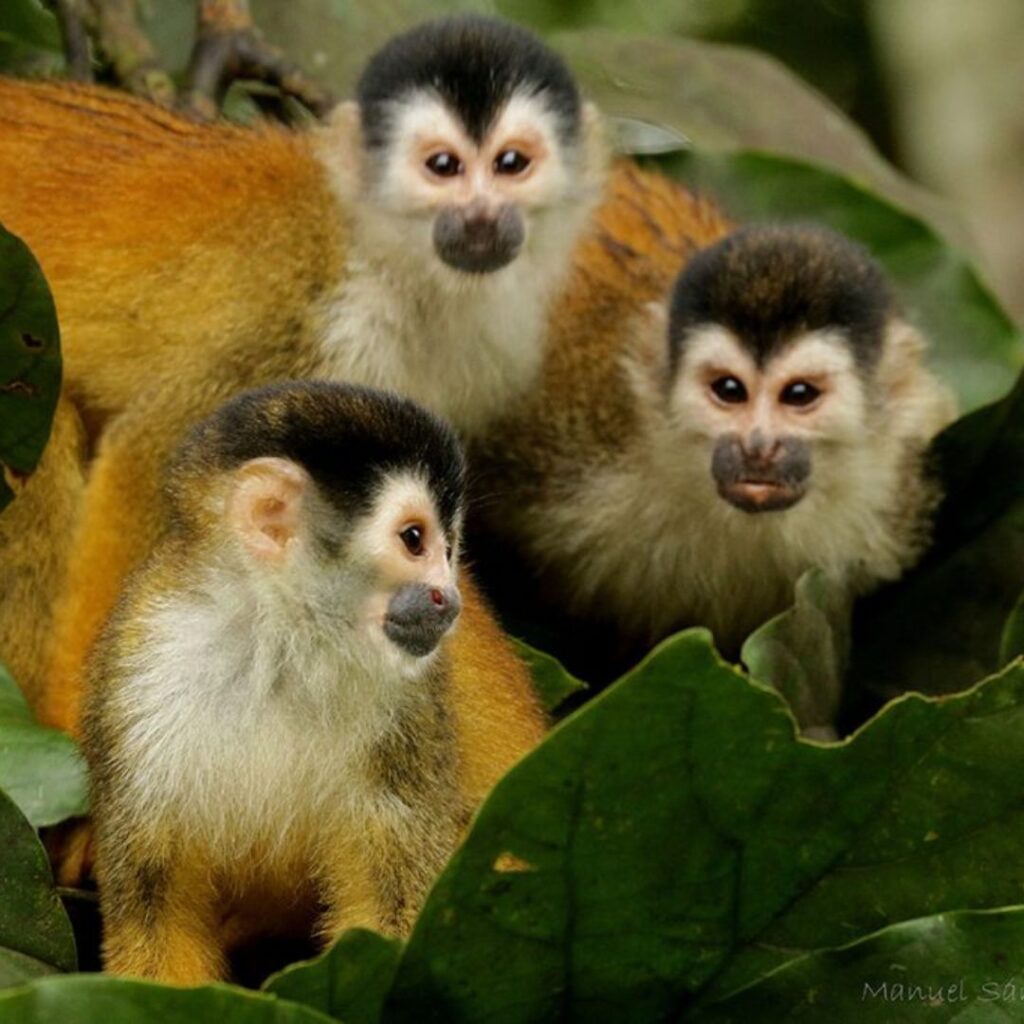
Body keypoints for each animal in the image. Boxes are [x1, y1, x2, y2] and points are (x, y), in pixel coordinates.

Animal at [0, 13, 607, 734]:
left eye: (512, 164)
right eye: (442, 167)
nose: (482, 218)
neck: (386, 260)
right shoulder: (294, 302)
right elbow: (147, 460)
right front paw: (79, 714)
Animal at [83, 379, 522, 983]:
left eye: (450, 550)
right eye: (414, 539)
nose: (447, 598)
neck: (283, 647)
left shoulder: (410, 706)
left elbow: (394, 906)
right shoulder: (136, 677)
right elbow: (154, 906)